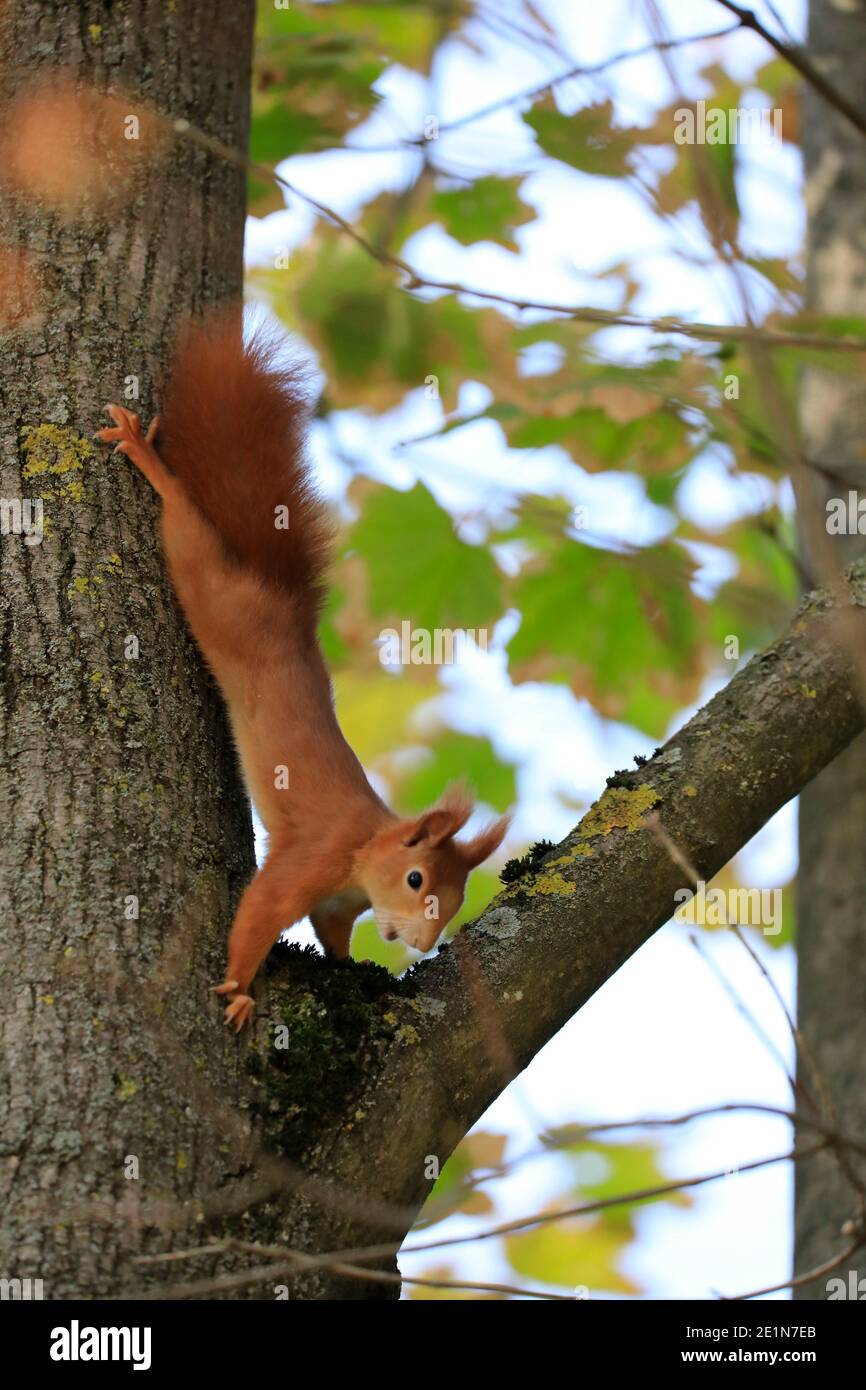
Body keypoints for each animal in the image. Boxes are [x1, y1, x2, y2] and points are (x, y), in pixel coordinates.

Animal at [96, 313, 509, 1030]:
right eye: (417, 880)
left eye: (458, 898)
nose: (421, 945)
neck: (364, 855)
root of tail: (285, 610)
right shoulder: (312, 858)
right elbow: (260, 913)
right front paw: (238, 989)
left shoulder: (337, 905)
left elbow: (332, 936)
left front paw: (349, 969)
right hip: (217, 599)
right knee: (189, 534)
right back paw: (149, 462)